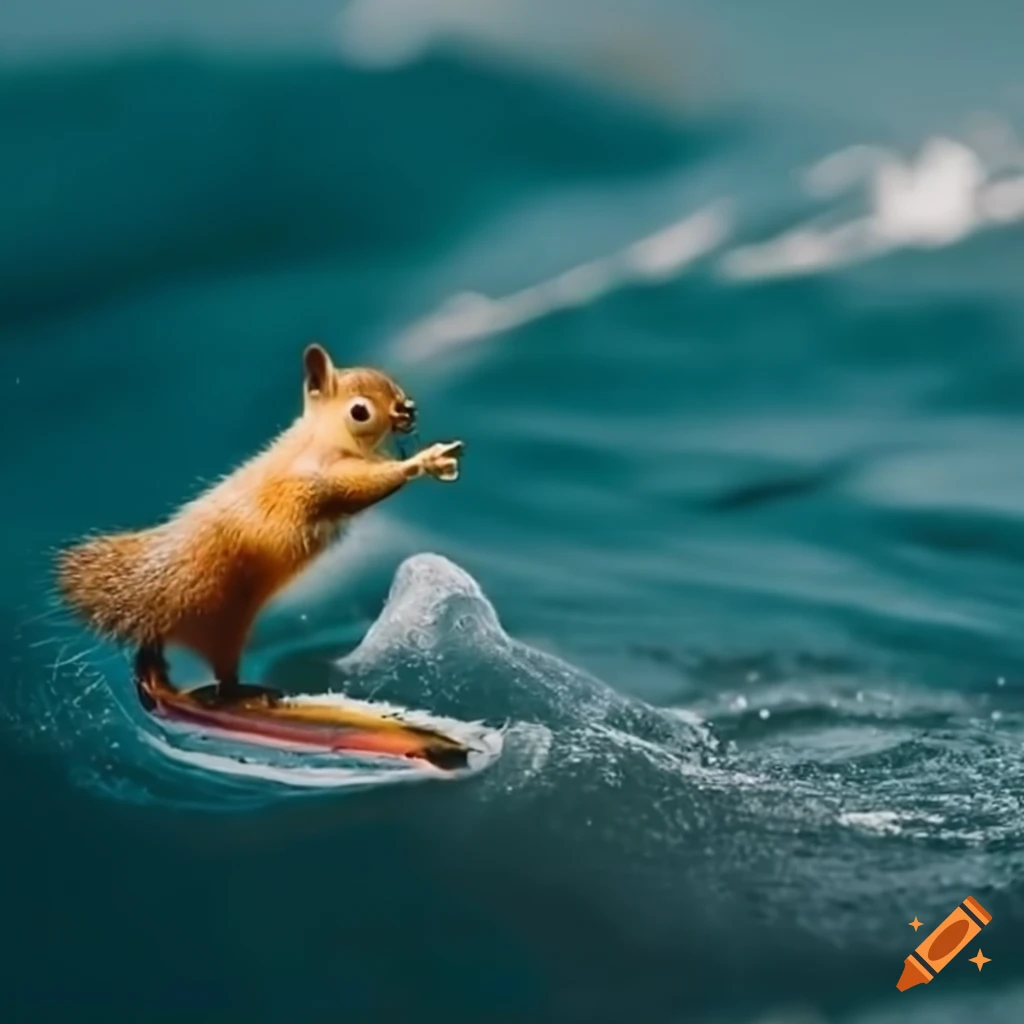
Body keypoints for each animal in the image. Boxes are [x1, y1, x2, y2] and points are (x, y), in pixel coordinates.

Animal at [54, 342, 463, 708]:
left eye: (390, 382)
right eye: (360, 411)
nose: (407, 409)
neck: (322, 438)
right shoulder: (312, 483)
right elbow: (362, 487)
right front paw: (425, 461)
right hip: (219, 625)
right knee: (223, 682)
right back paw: (246, 694)